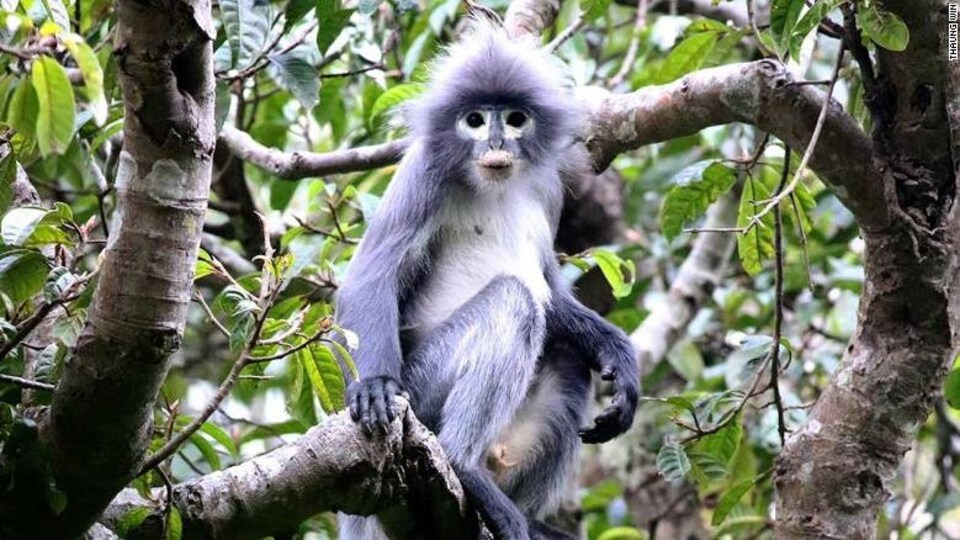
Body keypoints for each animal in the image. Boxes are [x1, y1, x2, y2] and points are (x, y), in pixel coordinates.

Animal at [335, 20, 639, 540]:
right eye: (475, 121)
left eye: (514, 119)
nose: (496, 143)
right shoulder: (424, 173)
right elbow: (370, 275)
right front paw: (372, 385)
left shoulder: (548, 189)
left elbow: (551, 291)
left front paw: (618, 354)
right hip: (422, 392)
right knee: (513, 300)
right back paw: (465, 465)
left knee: (566, 352)